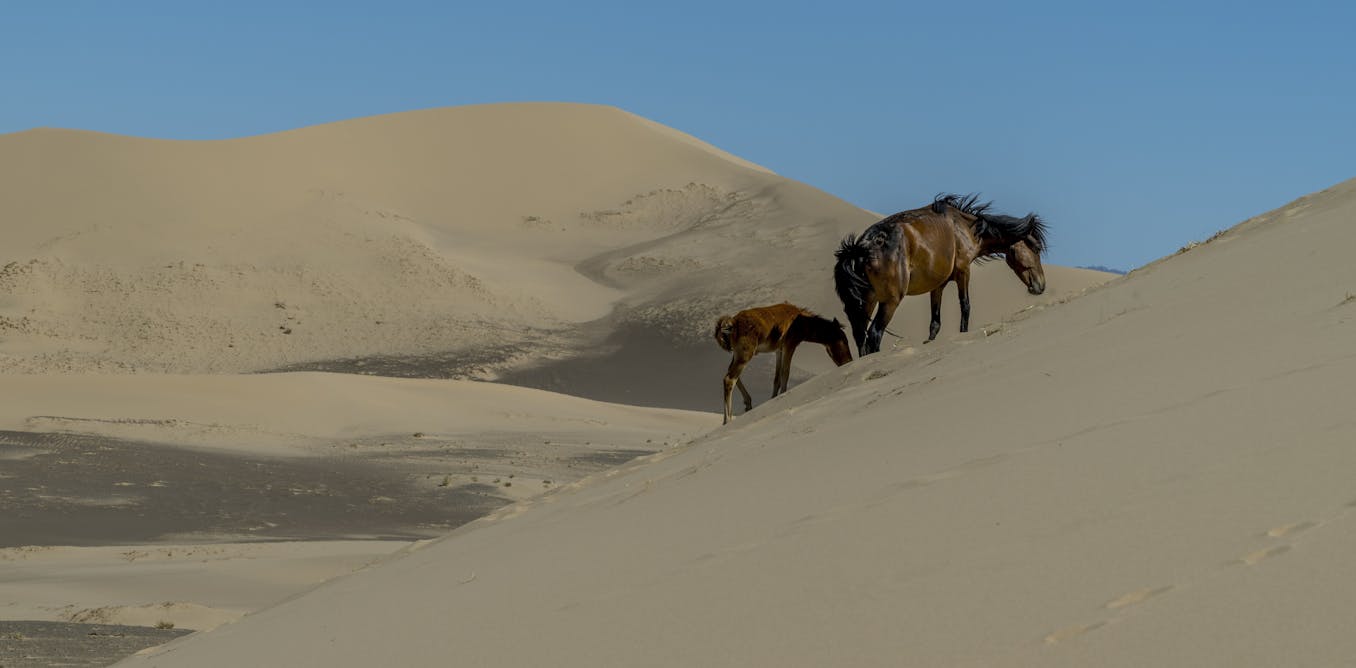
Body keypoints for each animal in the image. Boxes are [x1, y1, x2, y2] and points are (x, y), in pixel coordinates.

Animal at [713, 303, 853, 424]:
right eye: (844, 340)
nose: (848, 360)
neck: (805, 326)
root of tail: (731, 323)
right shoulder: (790, 344)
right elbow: (785, 373)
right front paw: (783, 395)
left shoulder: (779, 349)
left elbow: (777, 377)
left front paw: (773, 398)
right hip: (746, 353)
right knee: (729, 379)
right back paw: (727, 420)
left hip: (738, 354)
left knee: (731, 373)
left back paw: (748, 403)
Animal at [833, 193, 1049, 356]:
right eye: (1036, 248)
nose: (1041, 286)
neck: (965, 228)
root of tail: (861, 247)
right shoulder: (963, 271)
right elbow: (965, 307)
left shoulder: (937, 286)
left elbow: (935, 323)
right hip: (890, 301)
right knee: (875, 335)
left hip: (867, 301)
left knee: (860, 337)